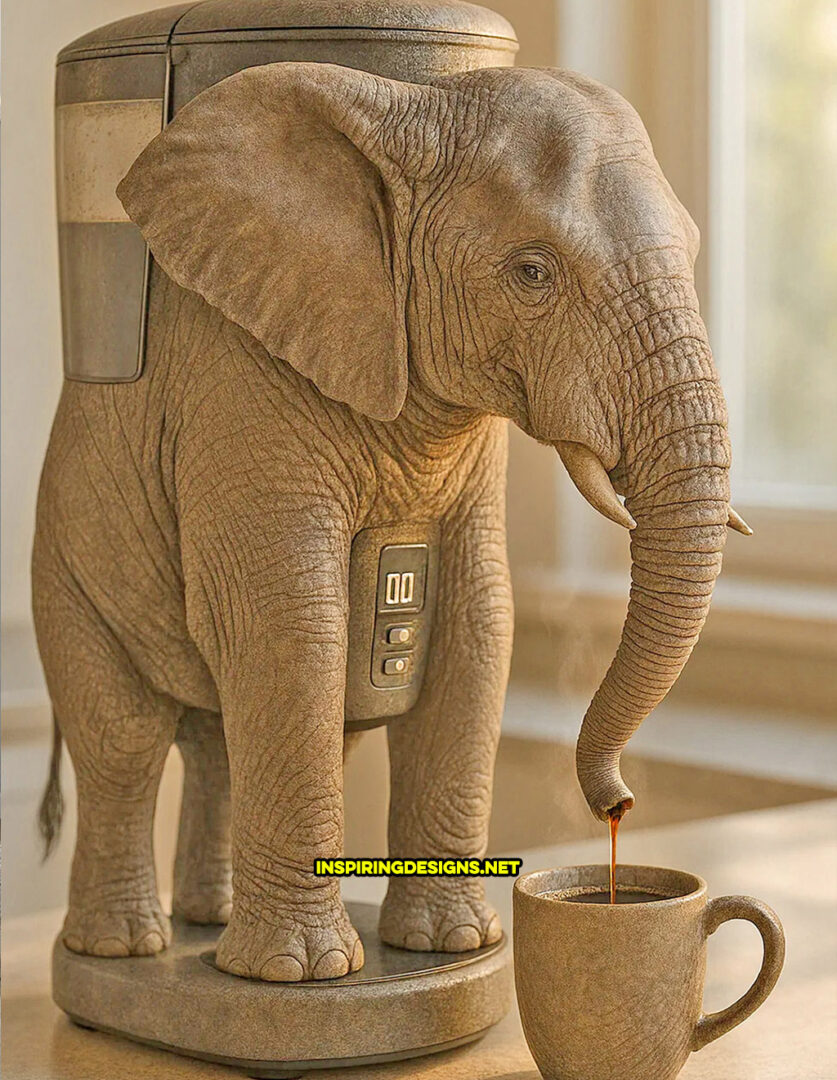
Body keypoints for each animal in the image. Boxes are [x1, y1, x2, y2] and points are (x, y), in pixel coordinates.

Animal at [34, 60, 749, 982]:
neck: (411, 110)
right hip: (65, 557)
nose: (617, 803)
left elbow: (479, 623)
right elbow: (290, 626)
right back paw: (128, 951)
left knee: (218, 741)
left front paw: (451, 948)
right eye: (532, 273)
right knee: (124, 737)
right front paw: (305, 977)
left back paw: (211, 928)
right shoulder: (242, 386)